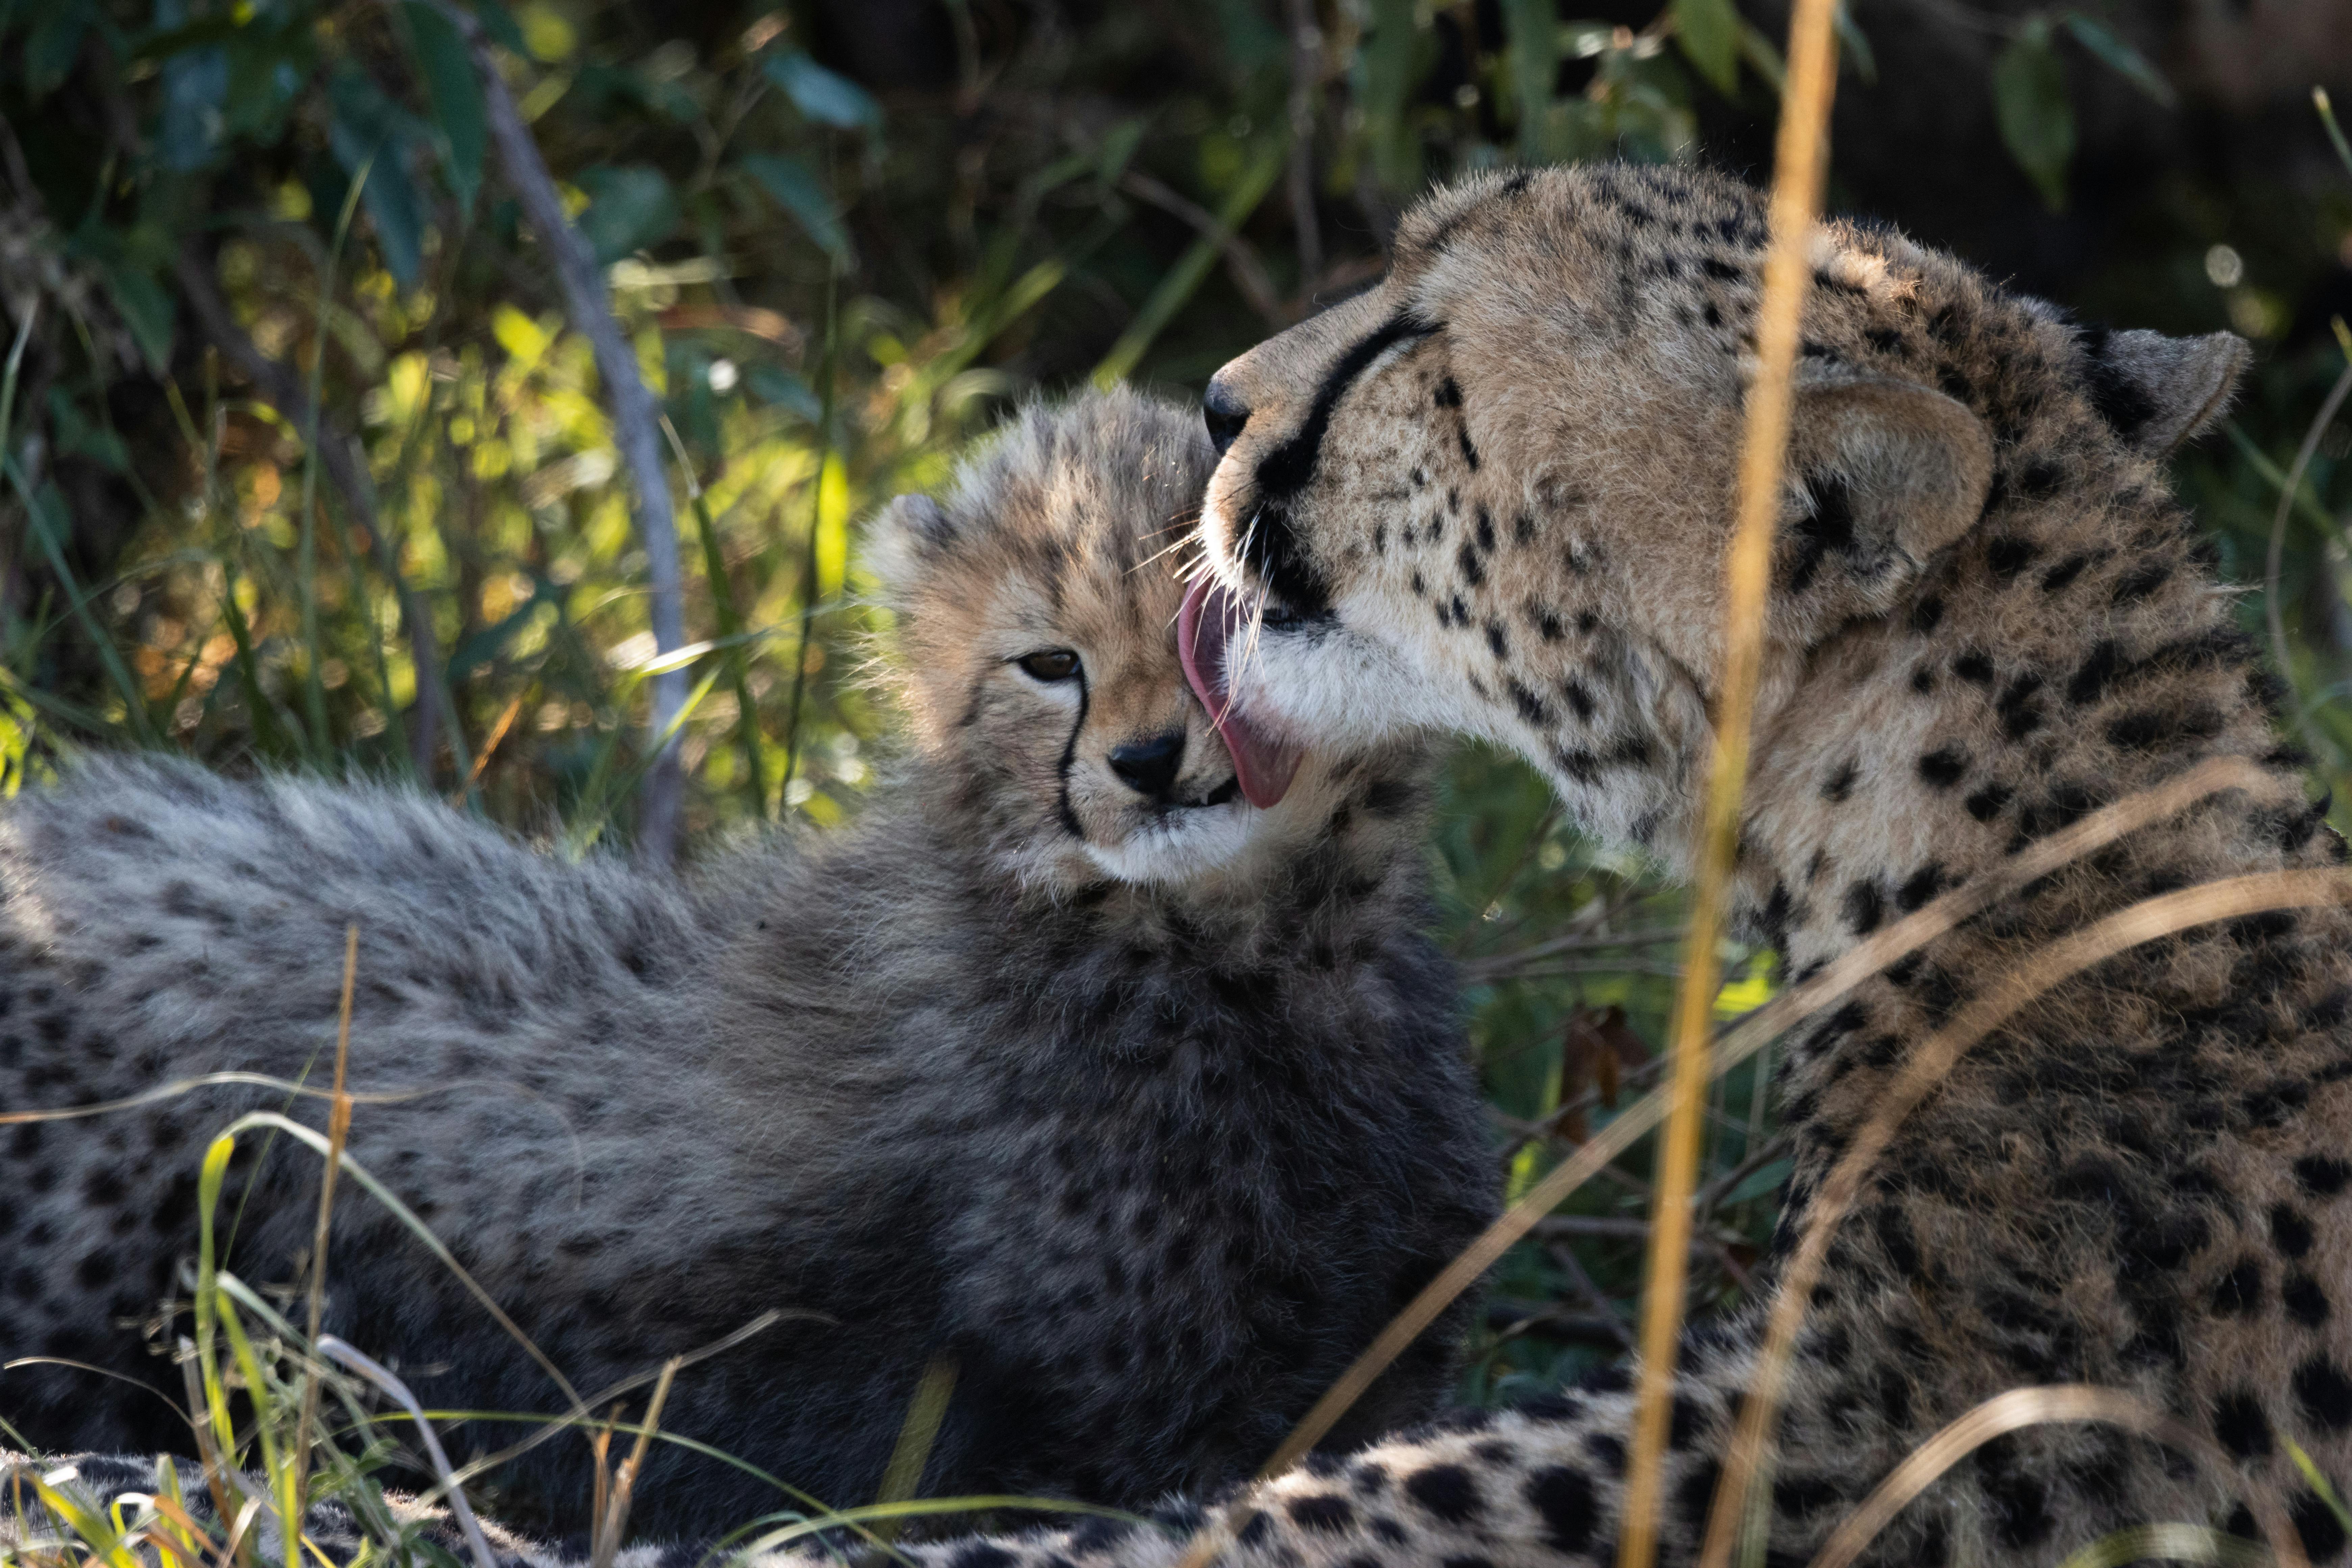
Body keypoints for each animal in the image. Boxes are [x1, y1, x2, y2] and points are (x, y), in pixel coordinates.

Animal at [0, 387, 1495, 1545]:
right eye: (1049, 663)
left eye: (1230, 620)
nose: (1144, 761)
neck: (1251, 944)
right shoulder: (1129, 1421)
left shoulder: (1369, 1364)